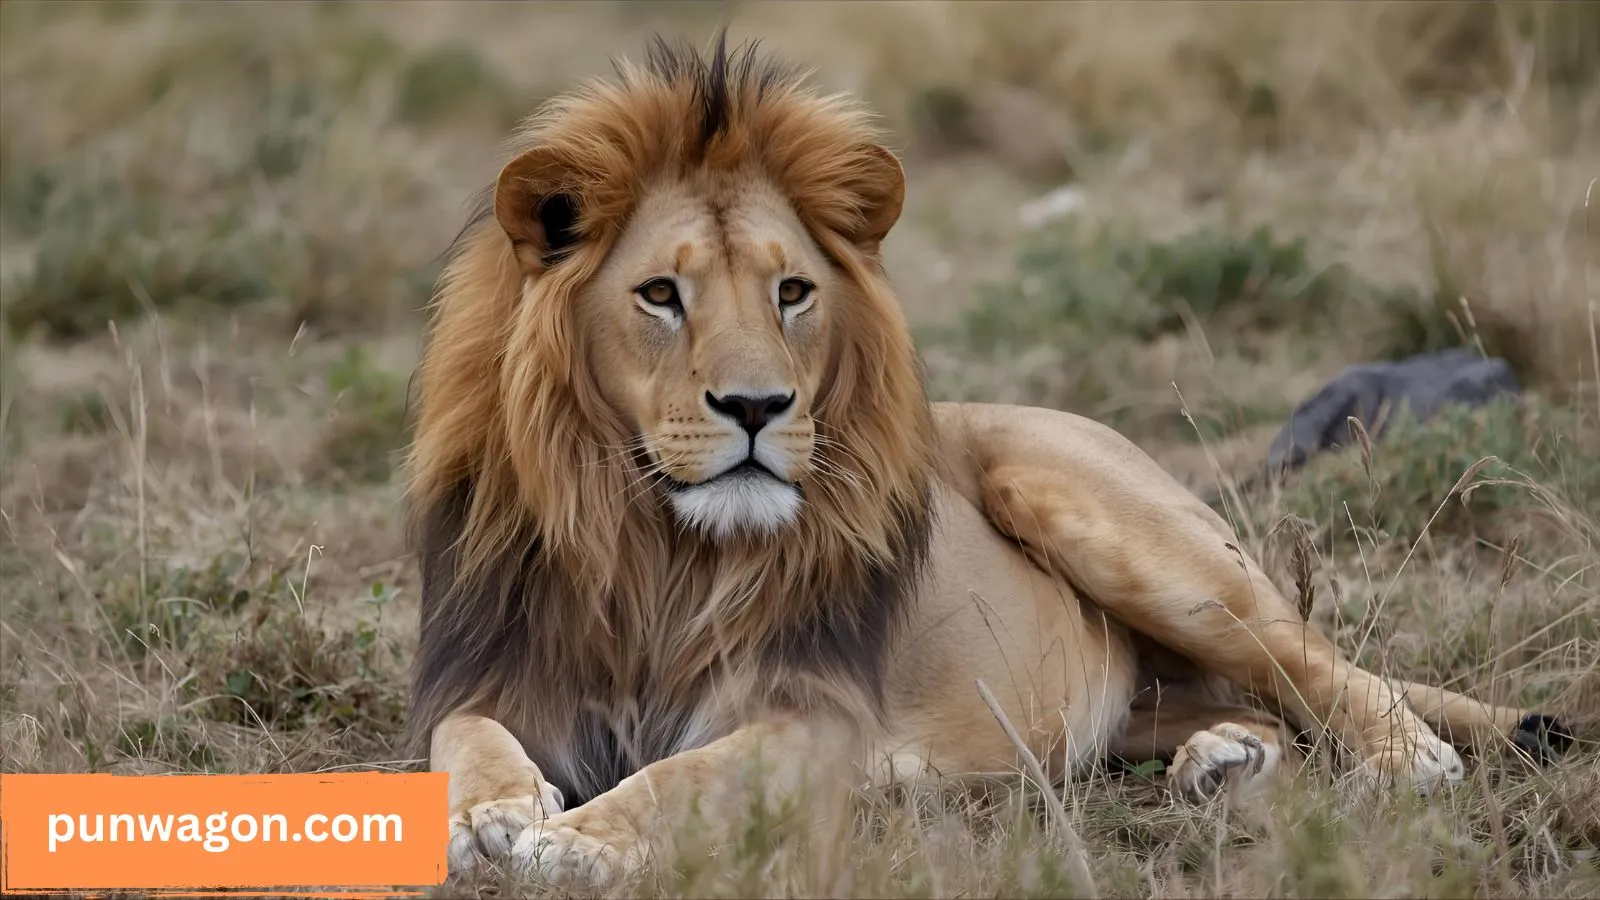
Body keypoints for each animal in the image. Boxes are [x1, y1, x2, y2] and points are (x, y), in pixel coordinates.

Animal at [402, 33, 1571, 887]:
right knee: (1237, 709)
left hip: (1118, 526)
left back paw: (1401, 758)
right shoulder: (494, 671)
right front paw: (494, 809)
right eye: (659, 294)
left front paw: (574, 838)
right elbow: (462, 739)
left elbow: (687, 774)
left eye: (792, 292)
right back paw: (1219, 764)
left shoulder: (815, 717)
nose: (757, 406)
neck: (651, 543)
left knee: (1323, 672)